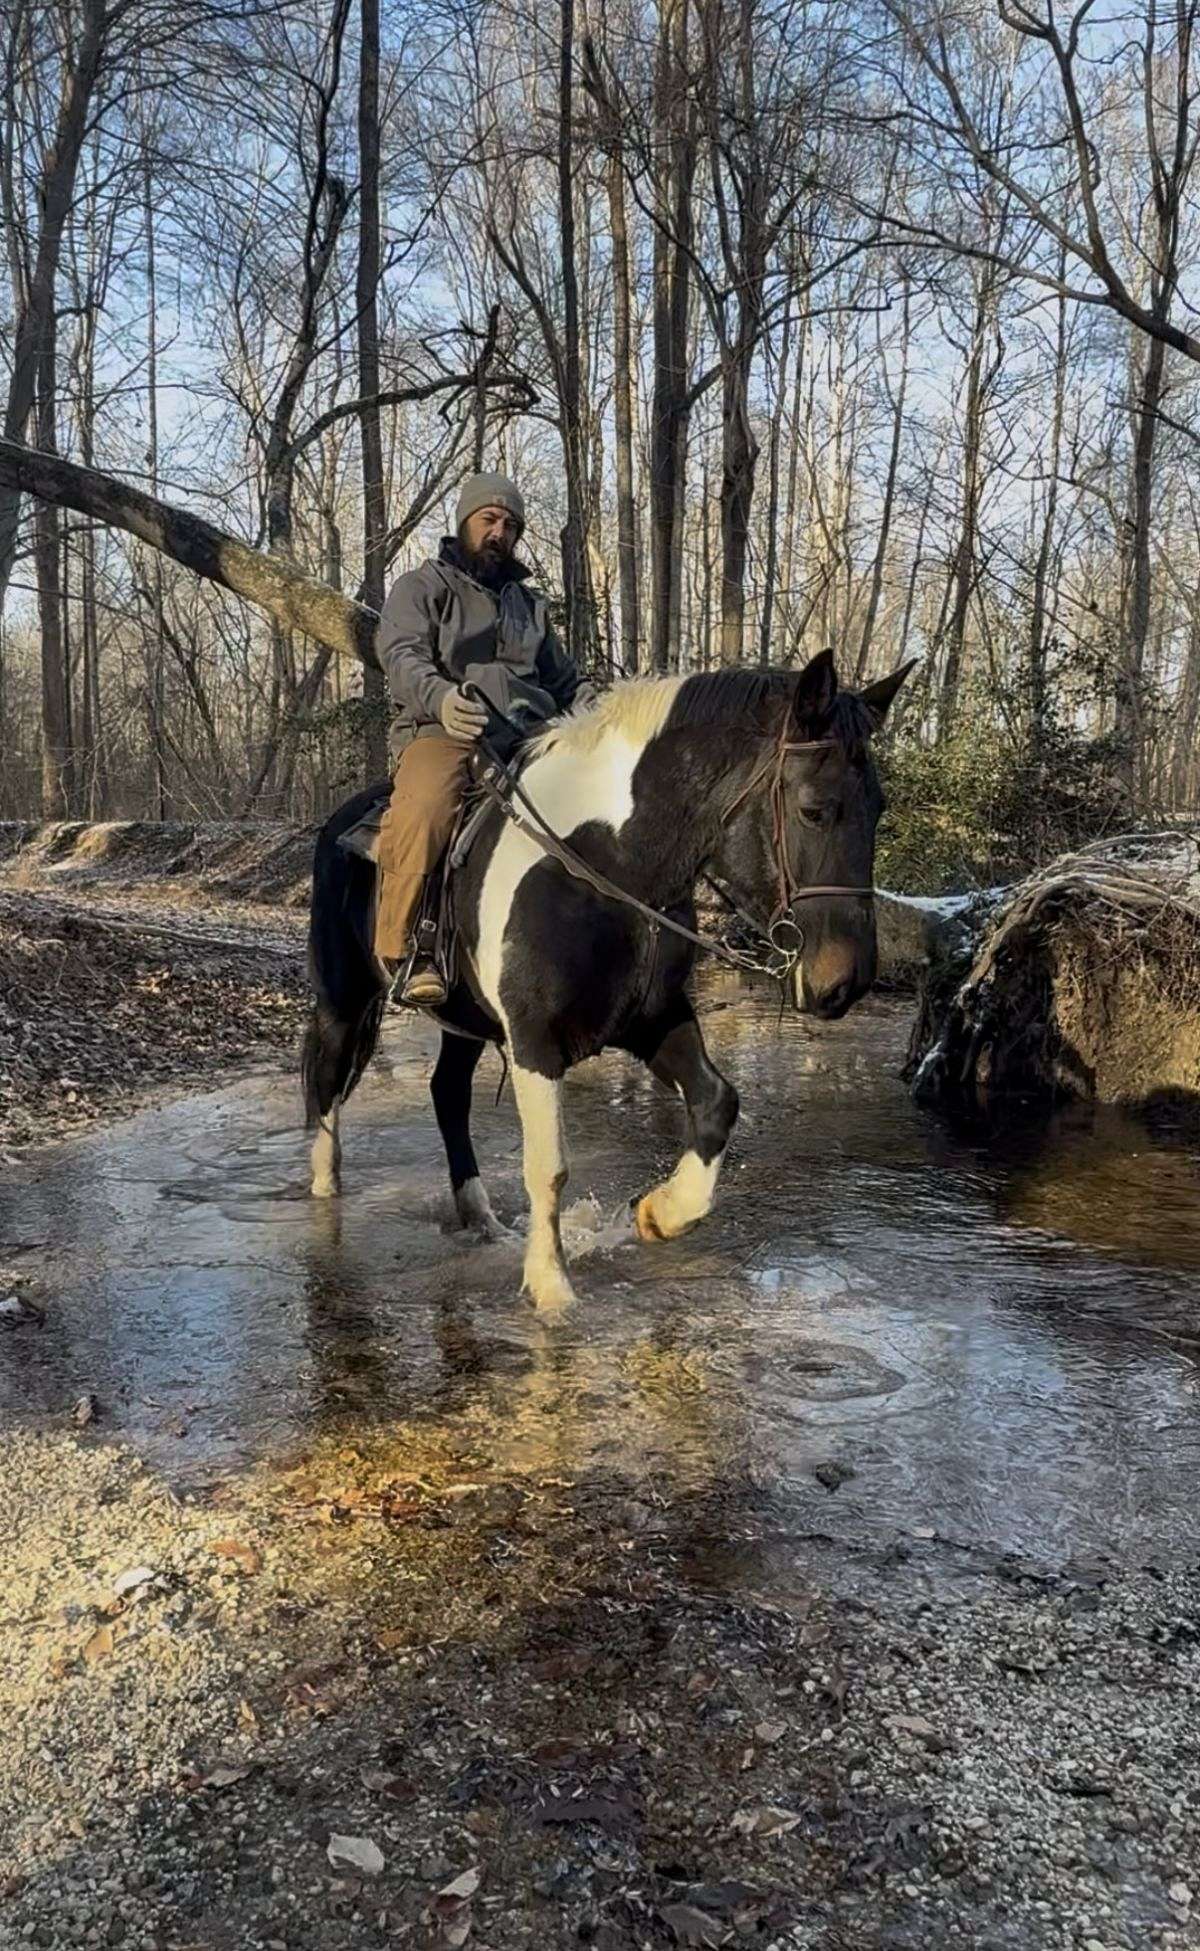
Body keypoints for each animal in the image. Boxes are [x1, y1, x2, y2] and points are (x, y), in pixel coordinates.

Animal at [302, 649, 913, 1309]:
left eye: (879, 809)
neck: (603, 863)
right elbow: (549, 1166)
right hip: (344, 996)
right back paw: (325, 1189)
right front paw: (551, 1287)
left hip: (463, 1020)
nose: (846, 981)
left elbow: (717, 1102)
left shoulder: (652, 1020)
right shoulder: (535, 1043)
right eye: (812, 809)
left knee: (447, 1094)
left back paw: (481, 1217)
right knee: (329, 1080)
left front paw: (660, 1212)